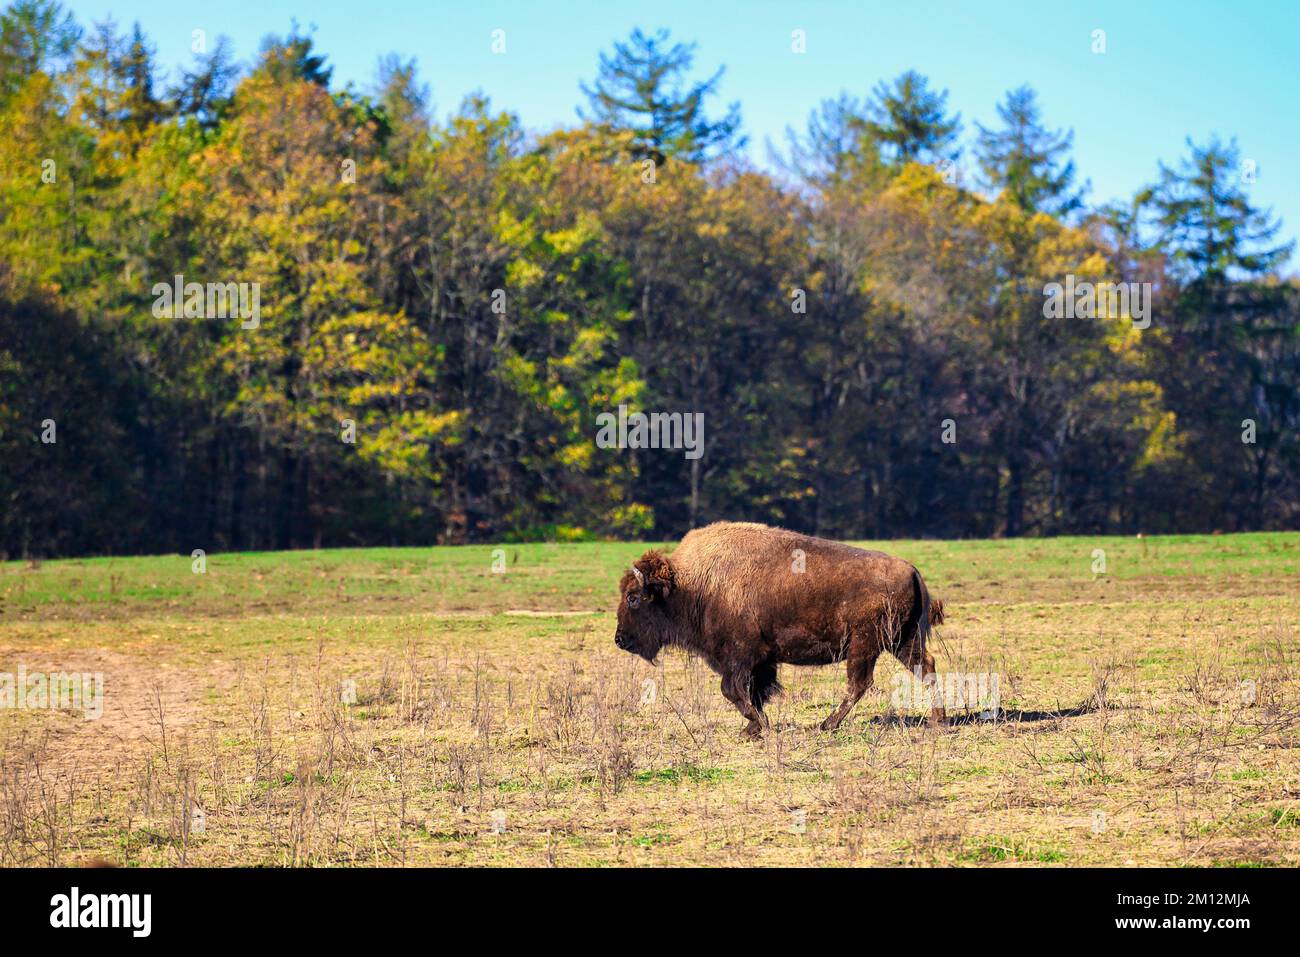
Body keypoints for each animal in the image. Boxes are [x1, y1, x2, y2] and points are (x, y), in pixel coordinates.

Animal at [614, 521, 946, 736]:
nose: (620, 639)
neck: (693, 584)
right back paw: (937, 721)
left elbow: (732, 690)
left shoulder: (741, 656)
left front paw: (756, 725)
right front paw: (753, 727)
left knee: (859, 683)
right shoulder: (759, 661)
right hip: (900, 642)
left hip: (865, 644)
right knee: (925, 667)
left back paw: (826, 725)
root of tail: (912, 570)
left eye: (633, 597)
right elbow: (754, 691)